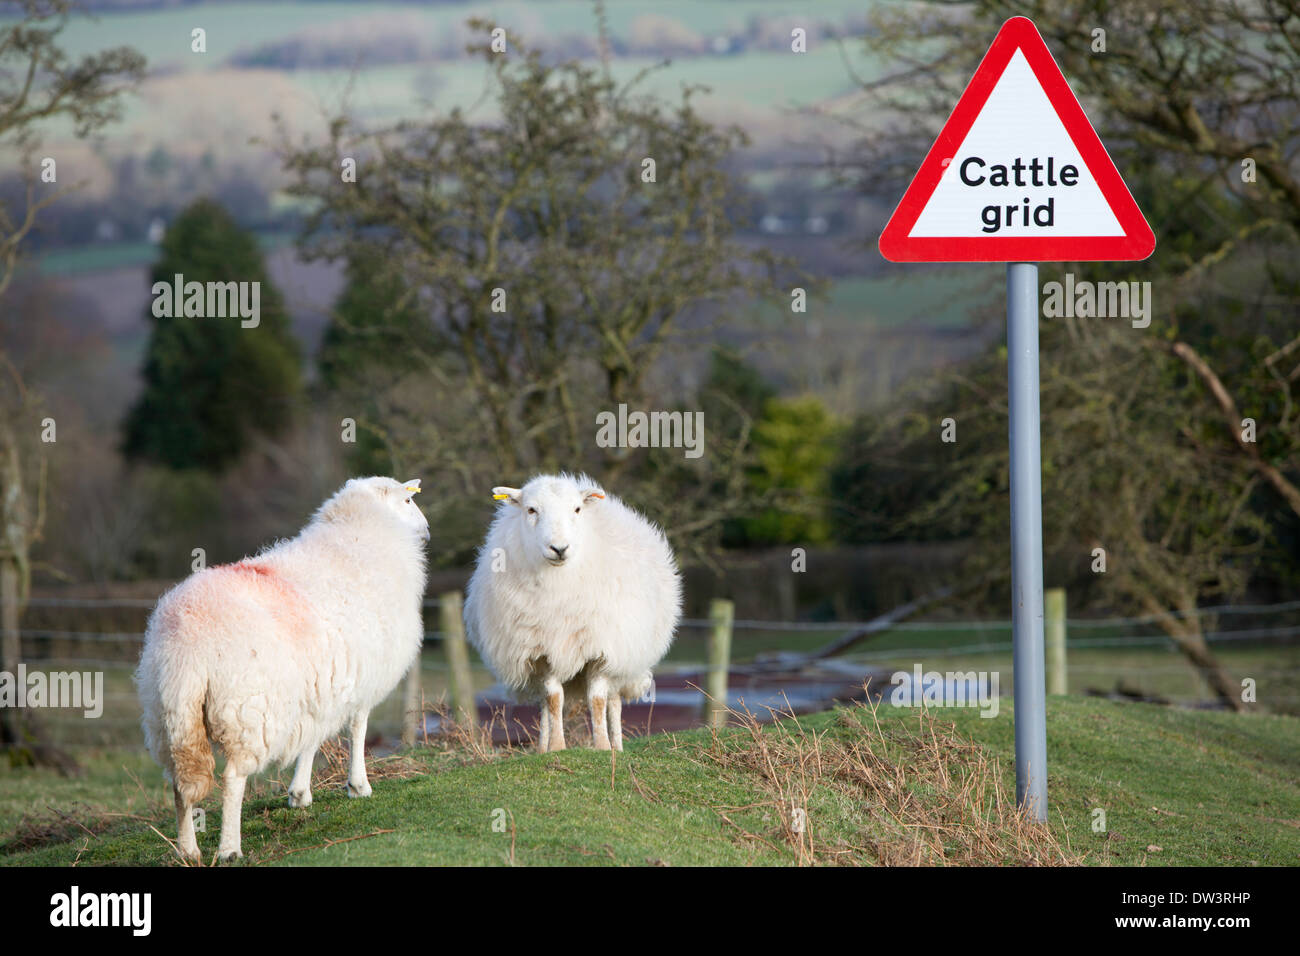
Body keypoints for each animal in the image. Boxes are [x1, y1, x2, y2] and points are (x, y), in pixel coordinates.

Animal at [135, 476, 429, 862]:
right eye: (408, 500)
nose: (427, 529)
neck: (359, 539)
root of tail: (188, 645)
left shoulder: (318, 685)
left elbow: (311, 736)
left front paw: (300, 794)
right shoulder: (361, 676)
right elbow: (357, 728)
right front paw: (358, 785)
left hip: (170, 718)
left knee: (180, 783)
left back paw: (188, 850)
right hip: (247, 712)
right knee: (232, 779)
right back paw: (230, 848)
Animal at [464, 472, 681, 752]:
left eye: (577, 509)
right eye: (531, 510)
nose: (559, 548)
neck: (559, 589)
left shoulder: (601, 648)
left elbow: (597, 700)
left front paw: (602, 746)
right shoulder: (542, 650)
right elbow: (553, 699)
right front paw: (556, 746)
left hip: (623, 657)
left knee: (614, 700)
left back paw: (617, 747)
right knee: (545, 705)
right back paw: (542, 747)